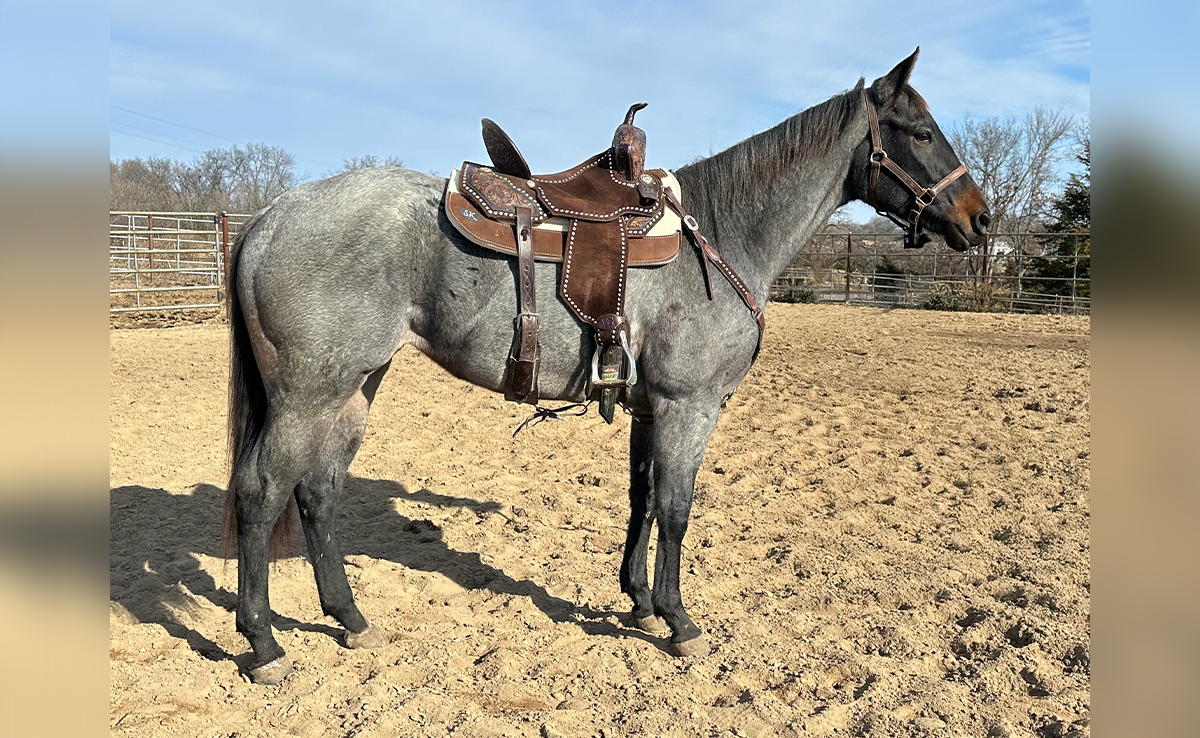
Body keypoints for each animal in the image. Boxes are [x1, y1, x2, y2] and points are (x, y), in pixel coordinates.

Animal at [223, 49, 990, 684]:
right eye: (921, 133)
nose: (981, 219)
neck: (723, 235)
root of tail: (270, 216)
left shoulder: (651, 408)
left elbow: (643, 498)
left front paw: (640, 600)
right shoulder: (689, 405)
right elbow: (677, 509)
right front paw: (679, 621)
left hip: (355, 387)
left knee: (318, 491)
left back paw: (350, 619)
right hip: (309, 393)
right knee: (261, 491)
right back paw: (263, 645)